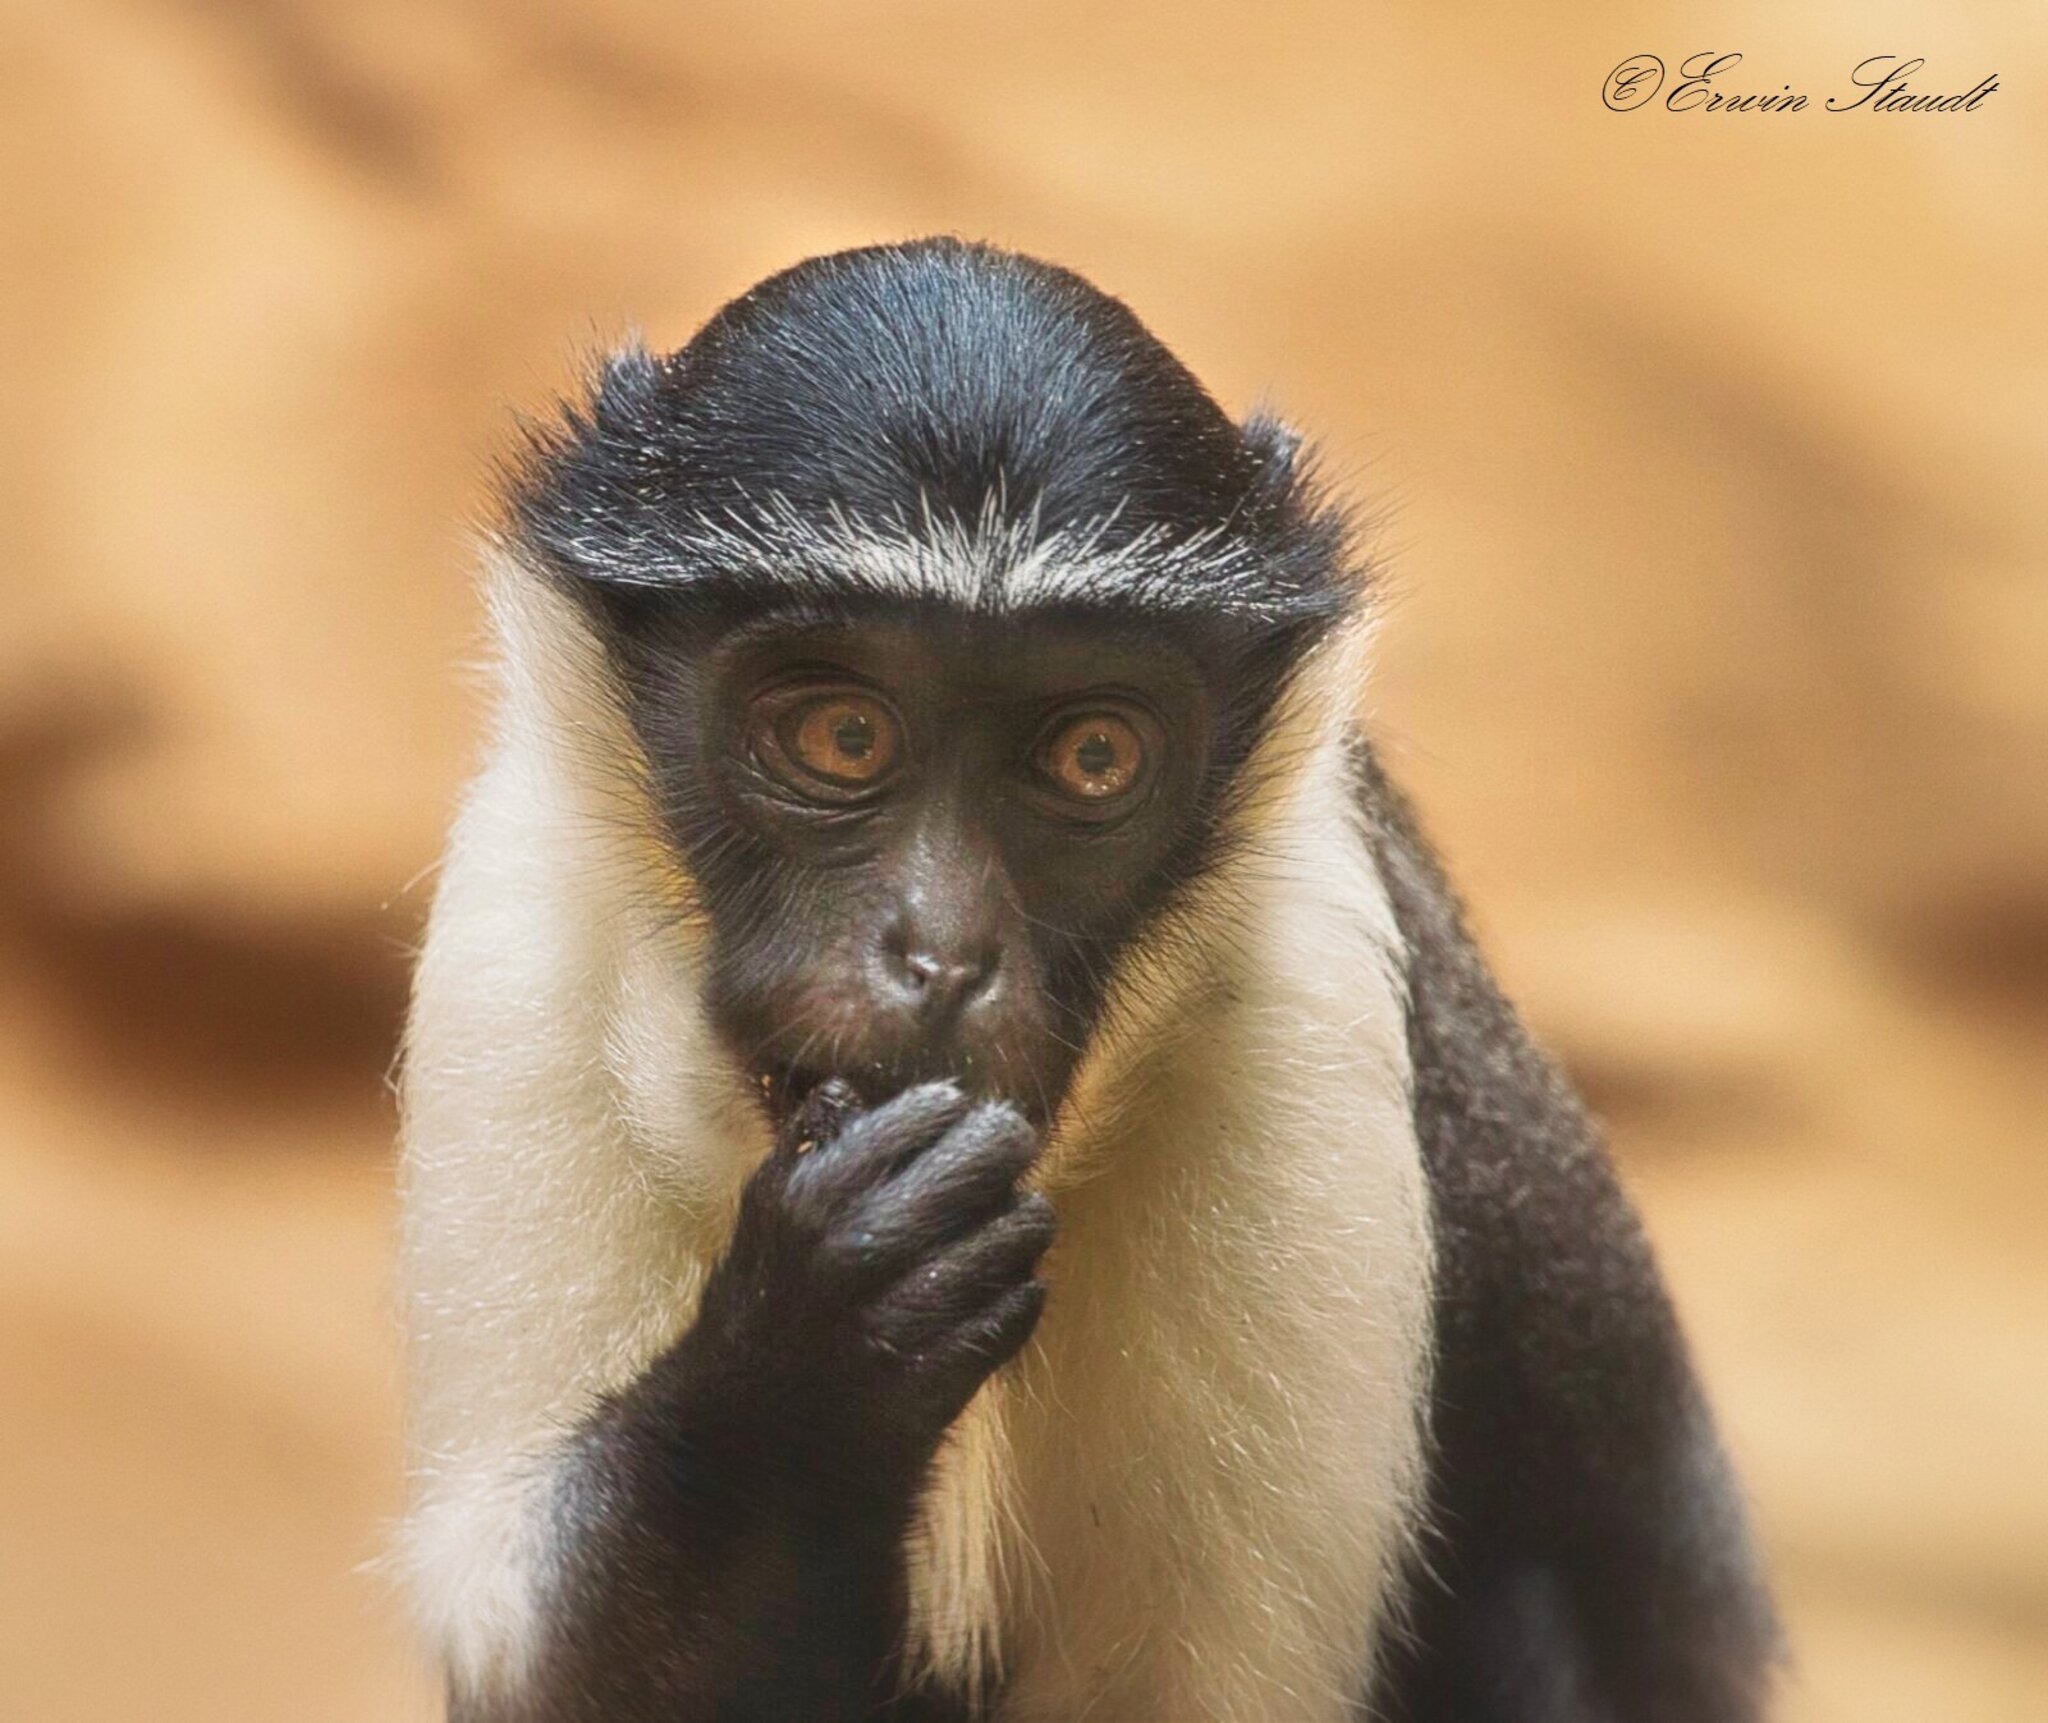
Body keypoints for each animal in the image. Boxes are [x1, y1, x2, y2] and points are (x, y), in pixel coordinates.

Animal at [396, 238, 1779, 1723]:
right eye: (840, 734)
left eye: (1093, 756)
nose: (941, 952)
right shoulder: (521, 922)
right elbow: (545, 1651)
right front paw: (807, 1366)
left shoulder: (1301, 1000)